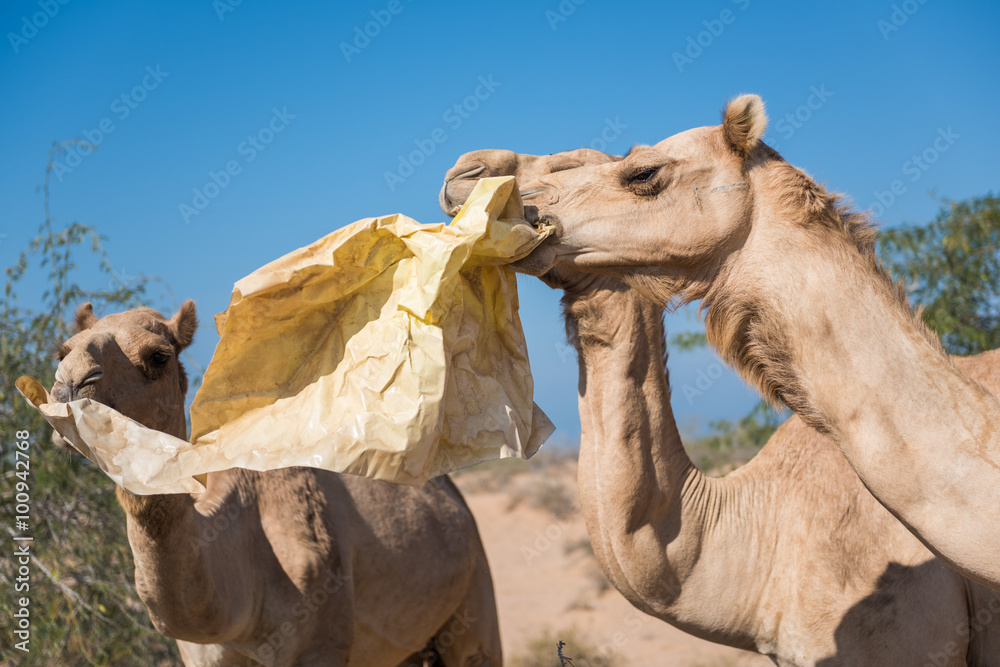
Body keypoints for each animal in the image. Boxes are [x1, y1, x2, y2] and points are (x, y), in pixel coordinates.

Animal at [48, 301, 501, 667]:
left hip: (476, 594)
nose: (70, 382)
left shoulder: (321, 645)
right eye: (63, 351)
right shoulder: (203, 656)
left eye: (158, 356)